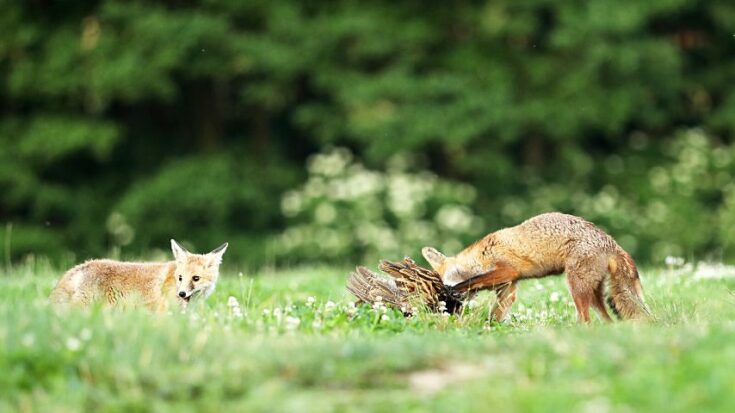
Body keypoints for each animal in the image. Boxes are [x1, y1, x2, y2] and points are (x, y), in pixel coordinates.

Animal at [422, 212, 649, 323]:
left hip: (576, 287)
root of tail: (611, 242)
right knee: (608, 322)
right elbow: (494, 316)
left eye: (440, 282)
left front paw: (456, 288)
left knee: (586, 321)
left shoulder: (508, 270)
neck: (482, 256)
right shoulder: (509, 289)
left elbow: (474, 279)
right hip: (592, 295)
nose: (447, 301)